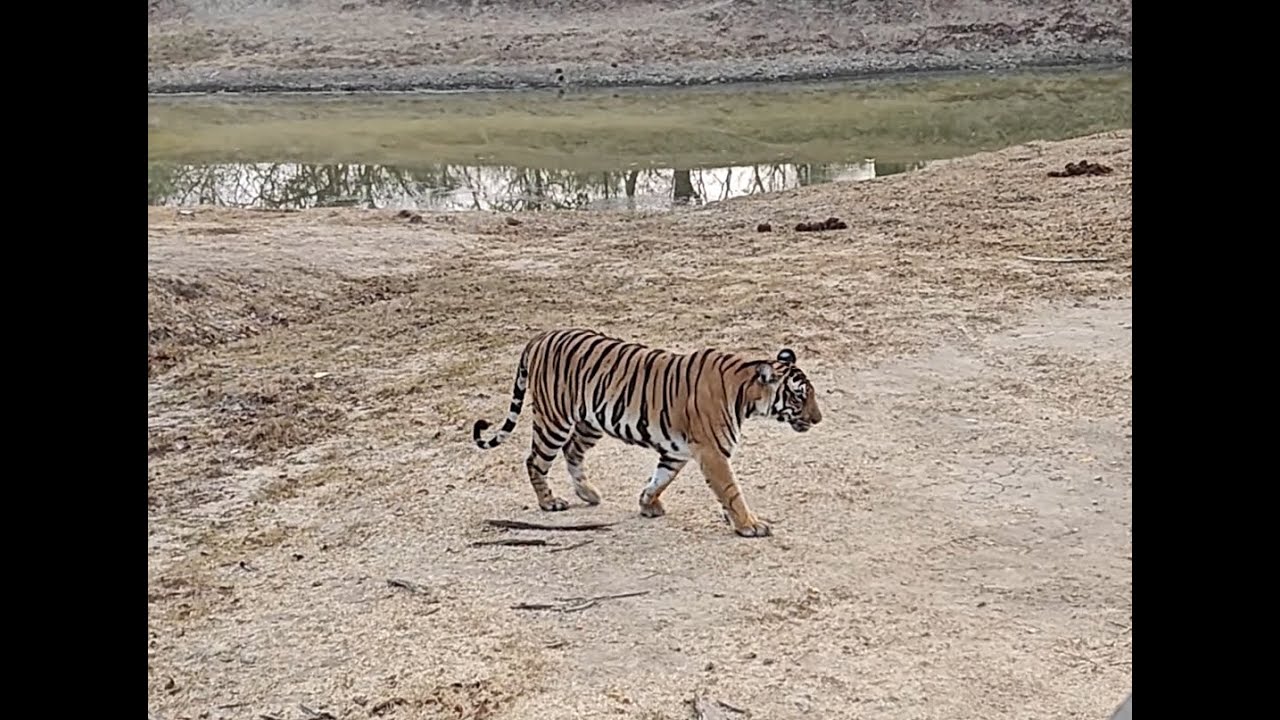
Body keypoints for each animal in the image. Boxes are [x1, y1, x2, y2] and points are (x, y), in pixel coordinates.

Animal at [471, 328, 823, 538]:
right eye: (799, 396)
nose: (818, 419)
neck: (745, 393)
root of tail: (540, 337)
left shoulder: (676, 451)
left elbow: (659, 480)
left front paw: (647, 504)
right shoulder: (713, 452)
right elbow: (731, 491)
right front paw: (749, 524)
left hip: (590, 423)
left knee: (572, 452)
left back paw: (588, 493)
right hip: (554, 421)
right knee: (535, 461)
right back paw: (550, 502)